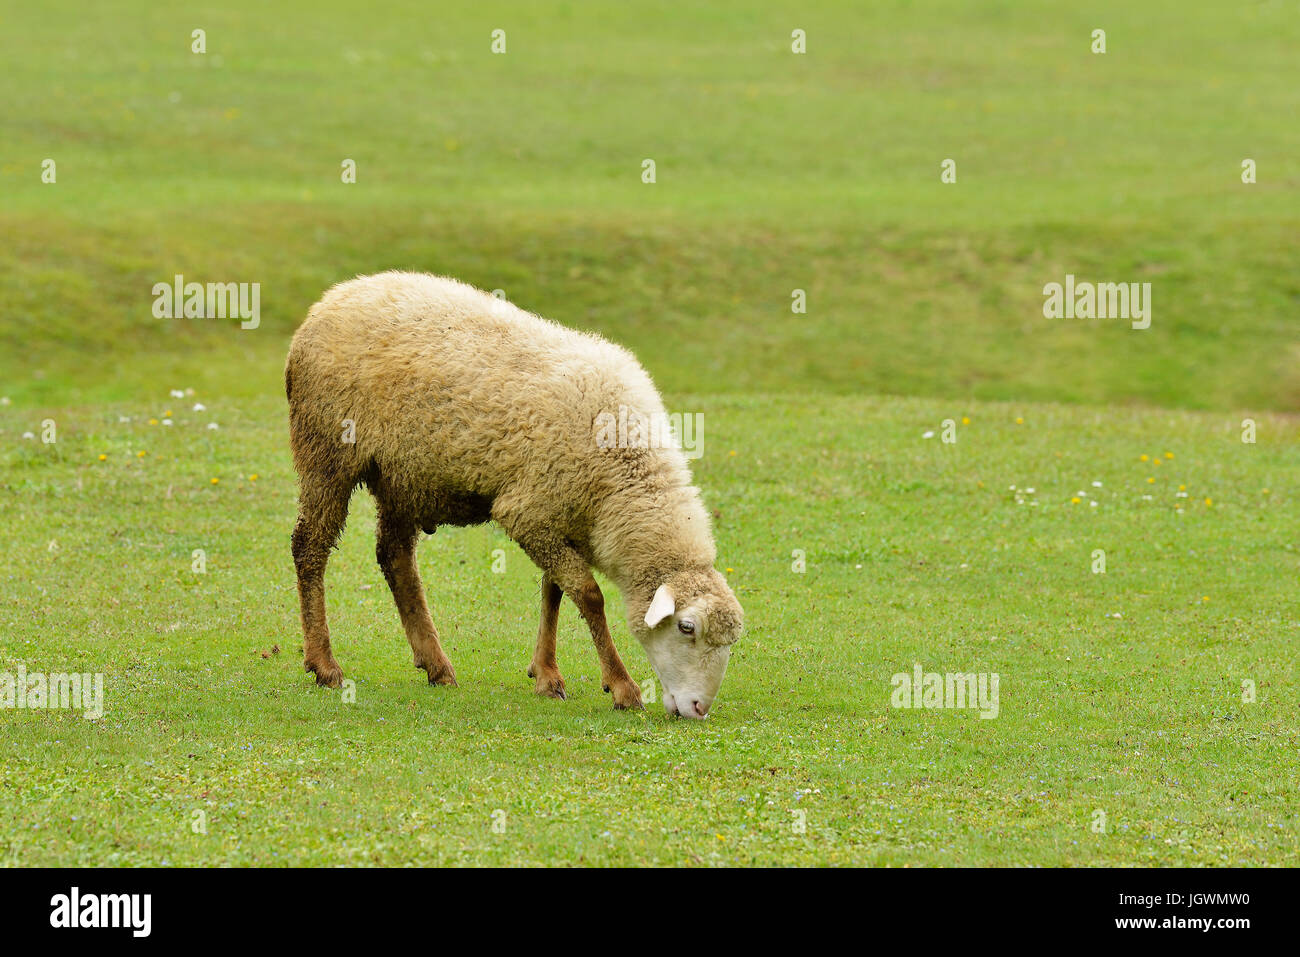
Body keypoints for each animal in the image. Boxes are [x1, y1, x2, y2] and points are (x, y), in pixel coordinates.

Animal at [284, 271, 743, 717]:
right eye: (686, 627)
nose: (699, 708)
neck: (622, 475)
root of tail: (332, 298)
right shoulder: (527, 512)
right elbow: (589, 596)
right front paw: (621, 686)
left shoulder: (562, 516)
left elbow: (553, 591)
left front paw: (546, 674)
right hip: (326, 450)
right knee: (310, 547)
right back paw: (324, 665)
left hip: (401, 476)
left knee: (395, 558)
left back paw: (436, 664)